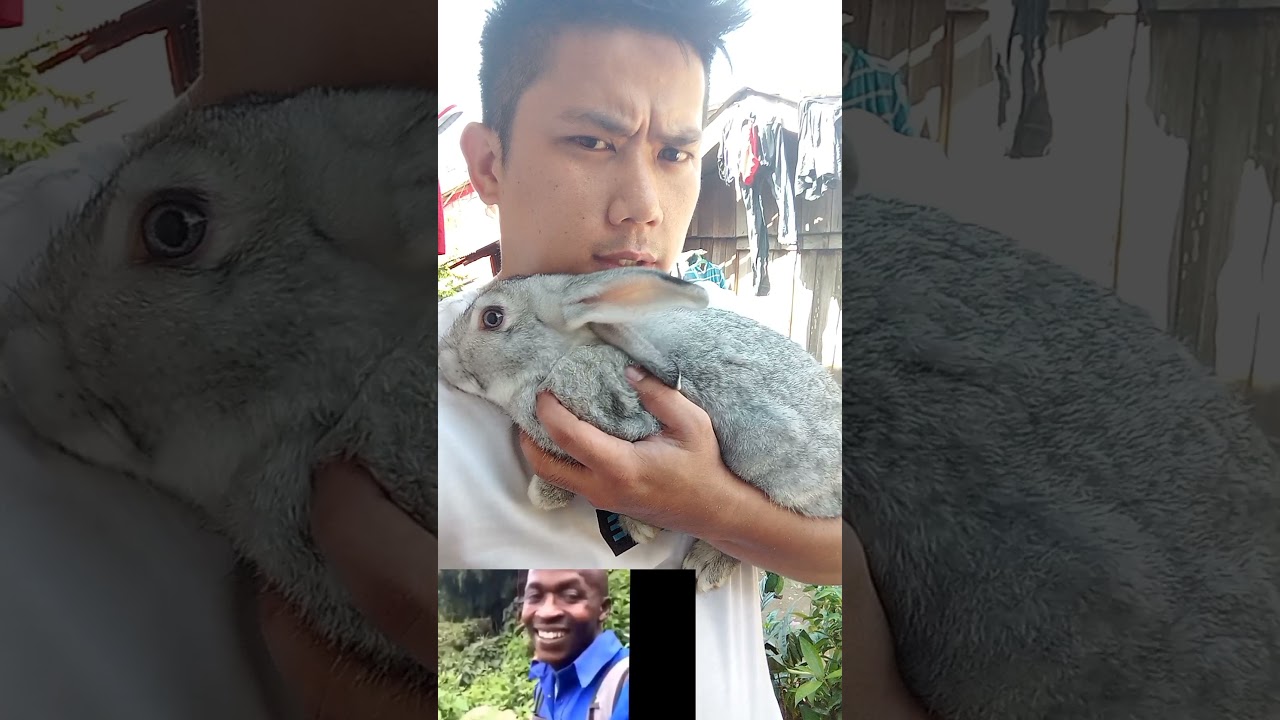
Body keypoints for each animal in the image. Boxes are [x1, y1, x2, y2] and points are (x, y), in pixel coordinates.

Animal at [437, 267, 842, 592]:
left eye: (492, 317)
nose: (442, 359)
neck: (556, 359)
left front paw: (638, 527)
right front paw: (546, 494)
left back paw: (706, 566)